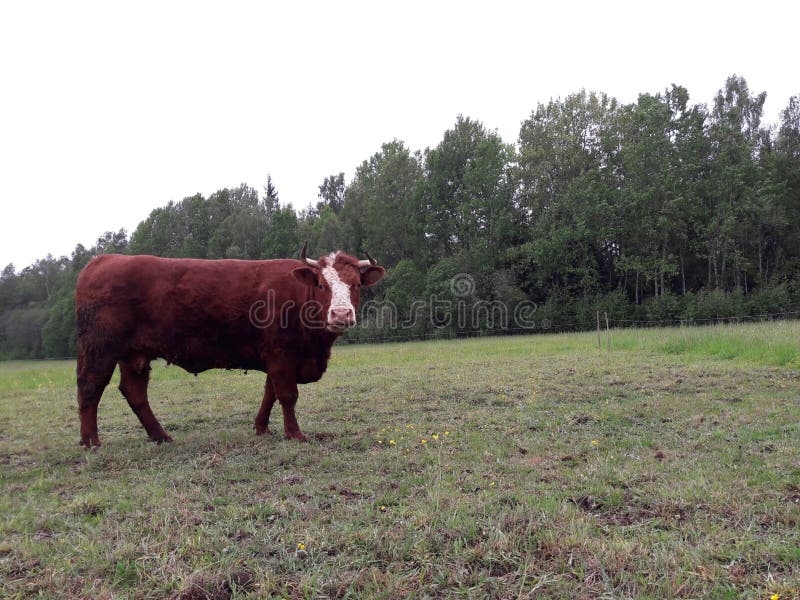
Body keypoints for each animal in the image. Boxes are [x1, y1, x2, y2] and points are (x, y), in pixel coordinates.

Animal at [74, 243, 385, 447]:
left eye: (356, 285)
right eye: (321, 285)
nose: (341, 314)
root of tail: (102, 260)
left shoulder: (276, 357)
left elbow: (270, 393)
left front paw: (261, 428)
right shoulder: (281, 354)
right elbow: (287, 395)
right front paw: (295, 434)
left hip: (134, 354)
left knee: (135, 393)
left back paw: (160, 436)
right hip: (100, 349)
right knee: (90, 388)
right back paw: (92, 442)